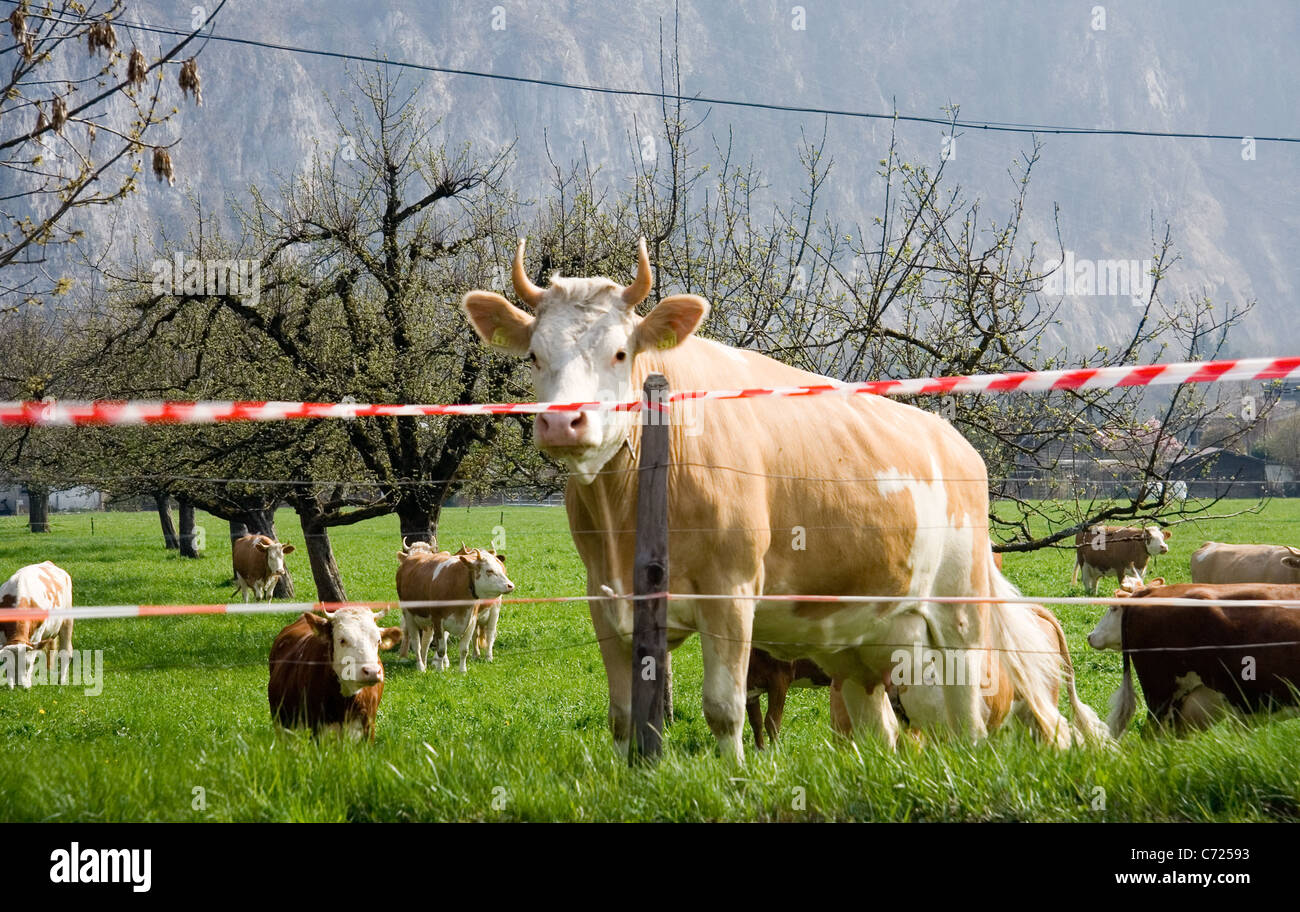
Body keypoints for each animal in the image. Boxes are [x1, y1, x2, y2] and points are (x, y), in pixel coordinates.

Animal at [0, 561, 74, 689]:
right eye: (9, 662)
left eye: (28, 664)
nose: (20, 686)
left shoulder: (37, 636)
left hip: (67, 621)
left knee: (65, 651)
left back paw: (62, 681)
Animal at [461, 238, 1106, 761]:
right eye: (534, 355)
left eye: (620, 353)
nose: (562, 423)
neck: (628, 507)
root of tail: (958, 446)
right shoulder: (605, 599)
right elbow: (624, 719)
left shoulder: (731, 591)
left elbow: (723, 709)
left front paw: (734, 778)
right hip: (867, 645)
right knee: (886, 728)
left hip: (959, 617)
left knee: (968, 720)